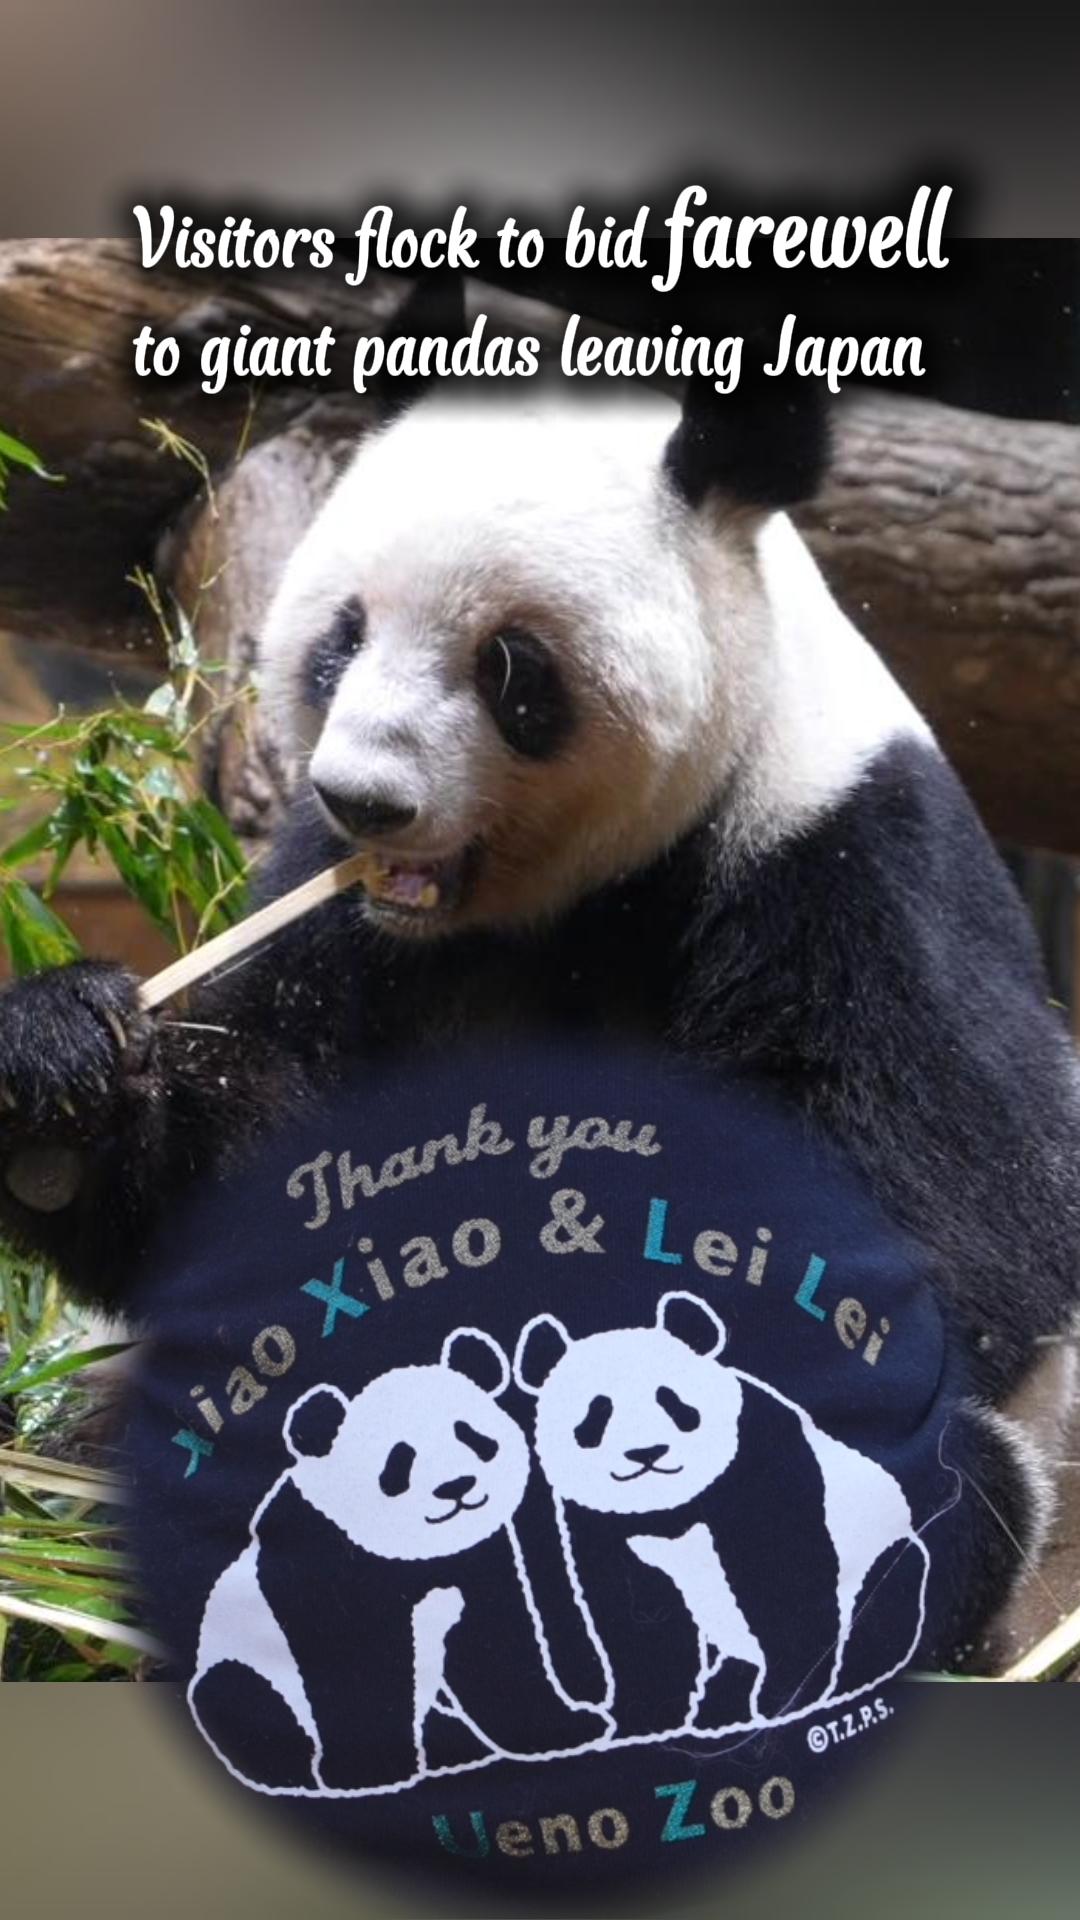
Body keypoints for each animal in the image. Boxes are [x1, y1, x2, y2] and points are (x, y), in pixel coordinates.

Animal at [0, 361, 1077, 1676]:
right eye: (341, 638)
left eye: (509, 668)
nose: (362, 799)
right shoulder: (344, 924)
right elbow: (250, 1191)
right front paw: (63, 1078)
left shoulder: (849, 870)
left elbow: (938, 1238)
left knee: (937, 1485)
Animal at [189, 1325, 607, 1794]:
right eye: (400, 1460)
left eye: (472, 1437)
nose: (457, 1486)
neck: (414, 1550)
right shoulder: (324, 1558)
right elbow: (351, 1658)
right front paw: (369, 1772)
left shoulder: (477, 1557)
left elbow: (497, 1636)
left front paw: (564, 1728)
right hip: (240, 1665)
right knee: (237, 1693)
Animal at [514, 1291, 930, 1741]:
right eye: (597, 1414)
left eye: (670, 1399)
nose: (646, 1453)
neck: (667, 1504)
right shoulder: (603, 1523)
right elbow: (637, 1612)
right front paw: (642, 1719)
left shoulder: (757, 1461)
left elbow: (785, 1577)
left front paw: (781, 1699)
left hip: (886, 1558)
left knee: (887, 1594)